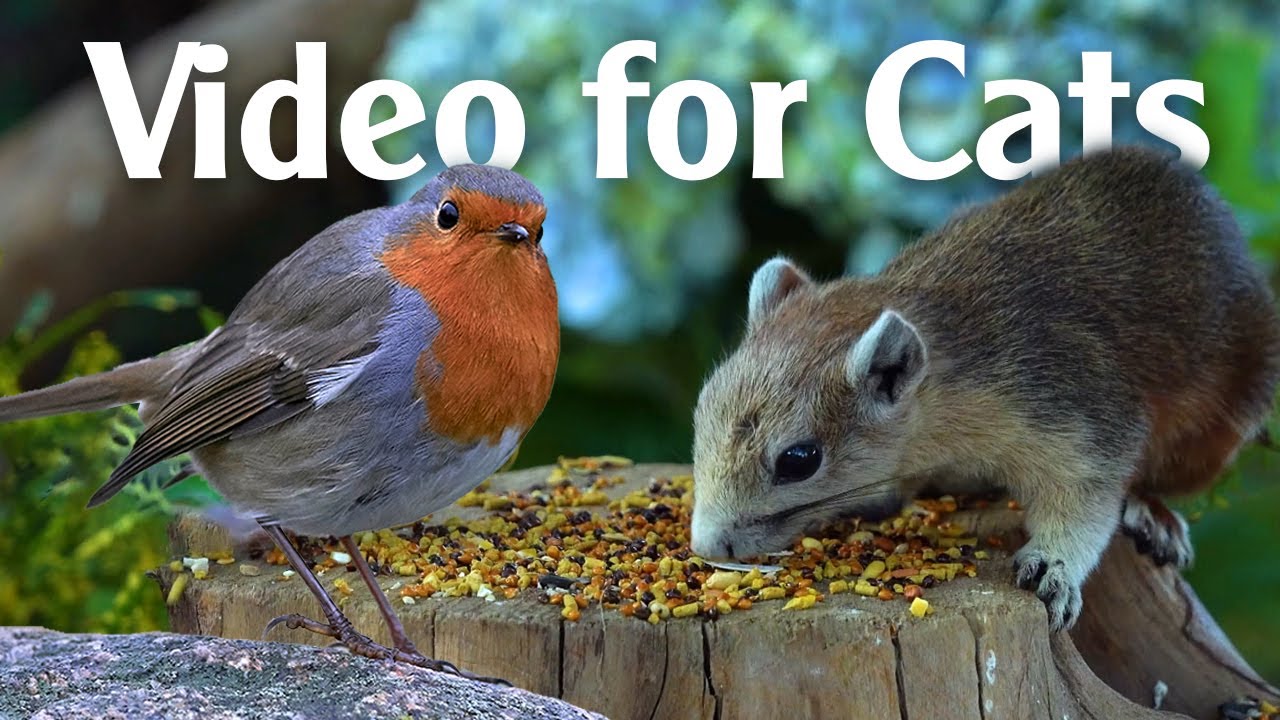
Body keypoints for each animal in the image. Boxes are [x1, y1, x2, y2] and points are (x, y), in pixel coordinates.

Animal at [689, 145, 1280, 631]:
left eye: (800, 460)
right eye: (702, 410)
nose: (706, 544)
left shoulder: (1079, 414)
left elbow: (1084, 505)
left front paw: (1056, 566)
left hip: (1214, 432)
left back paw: (1150, 511)